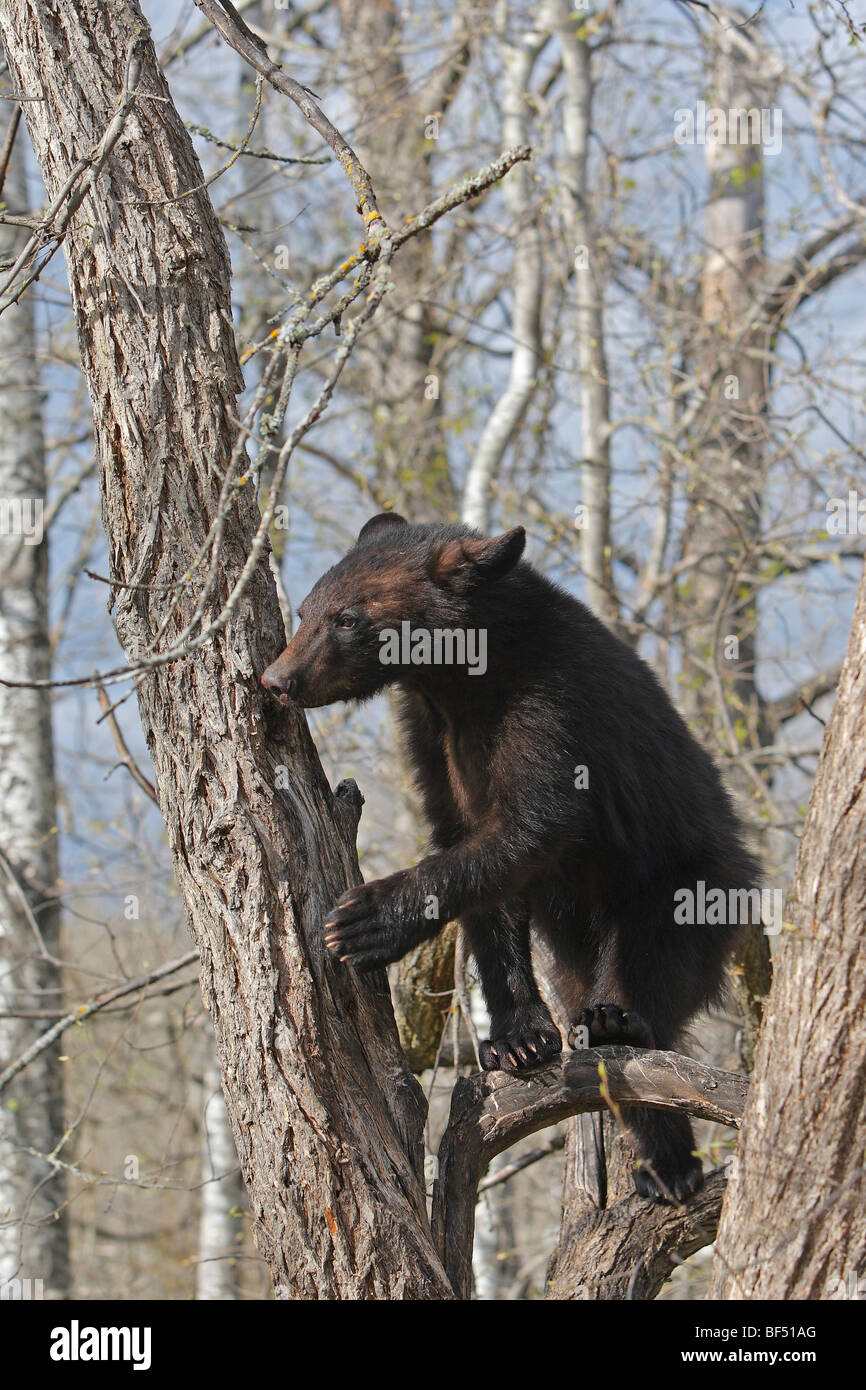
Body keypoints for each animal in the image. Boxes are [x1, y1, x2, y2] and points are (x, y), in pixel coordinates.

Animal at [261, 512, 759, 1201]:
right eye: (307, 609)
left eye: (349, 618)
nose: (278, 680)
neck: (463, 677)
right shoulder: (433, 734)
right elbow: (476, 860)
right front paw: (517, 1039)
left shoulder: (551, 698)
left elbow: (536, 820)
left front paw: (365, 922)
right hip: (577, 939)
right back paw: (664, 1162)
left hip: (689, 884)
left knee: (652, 969)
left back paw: (620, 1031)